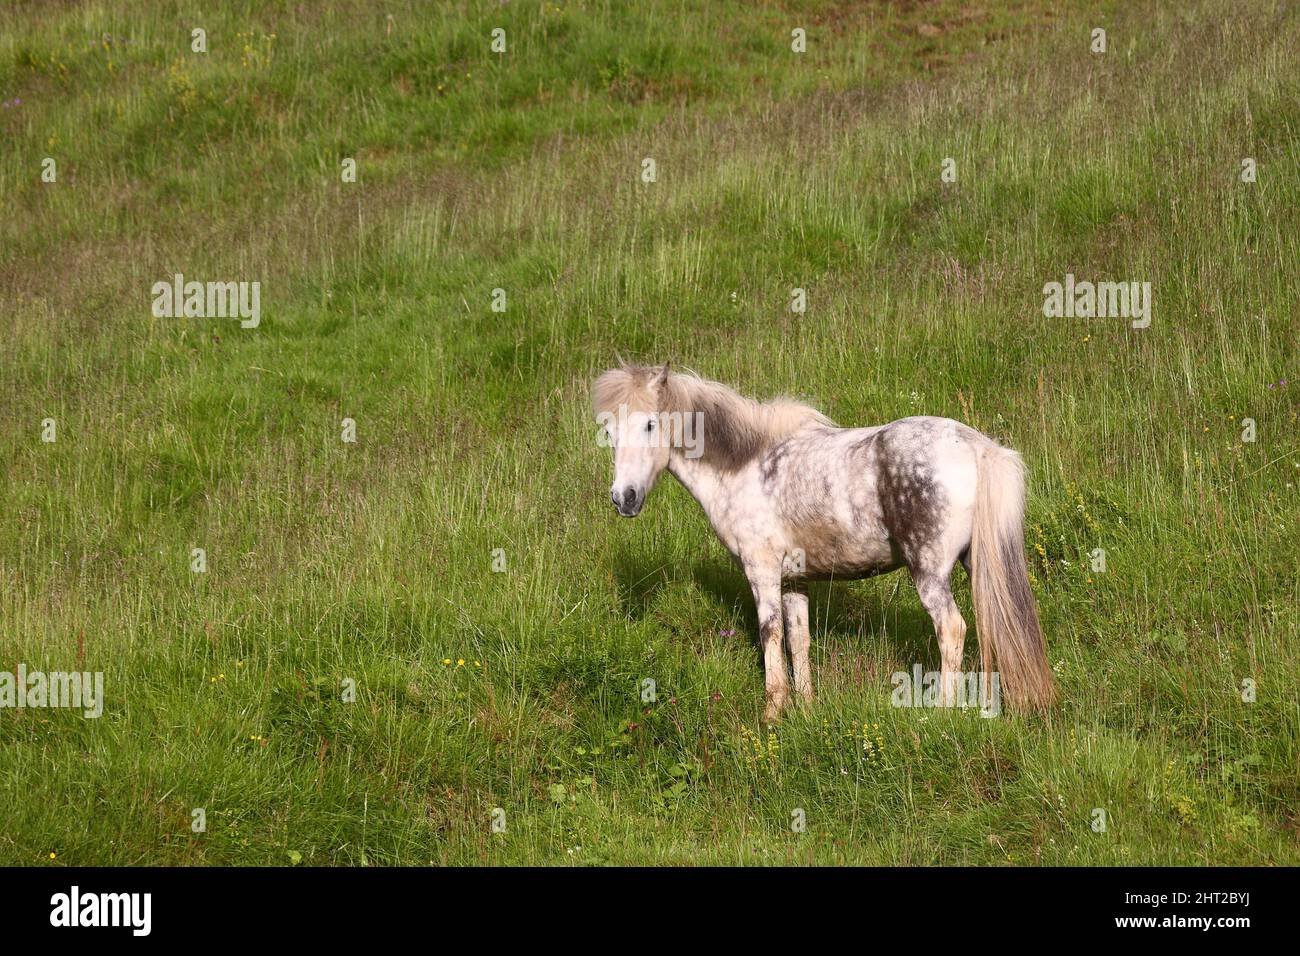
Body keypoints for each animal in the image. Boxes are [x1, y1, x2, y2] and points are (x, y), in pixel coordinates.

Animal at [592, 362, 1055, 722]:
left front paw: (772, 713)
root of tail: (978, 447)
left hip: (930, 572)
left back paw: (941, 712)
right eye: (610, 431)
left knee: (952, 628)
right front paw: (806, 709)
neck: (744, 465)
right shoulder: (794, 581)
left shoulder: (762, 572)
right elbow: (799, 640)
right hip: (977, 565)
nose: (623, 498)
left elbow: (770, 636)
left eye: (650, 423)